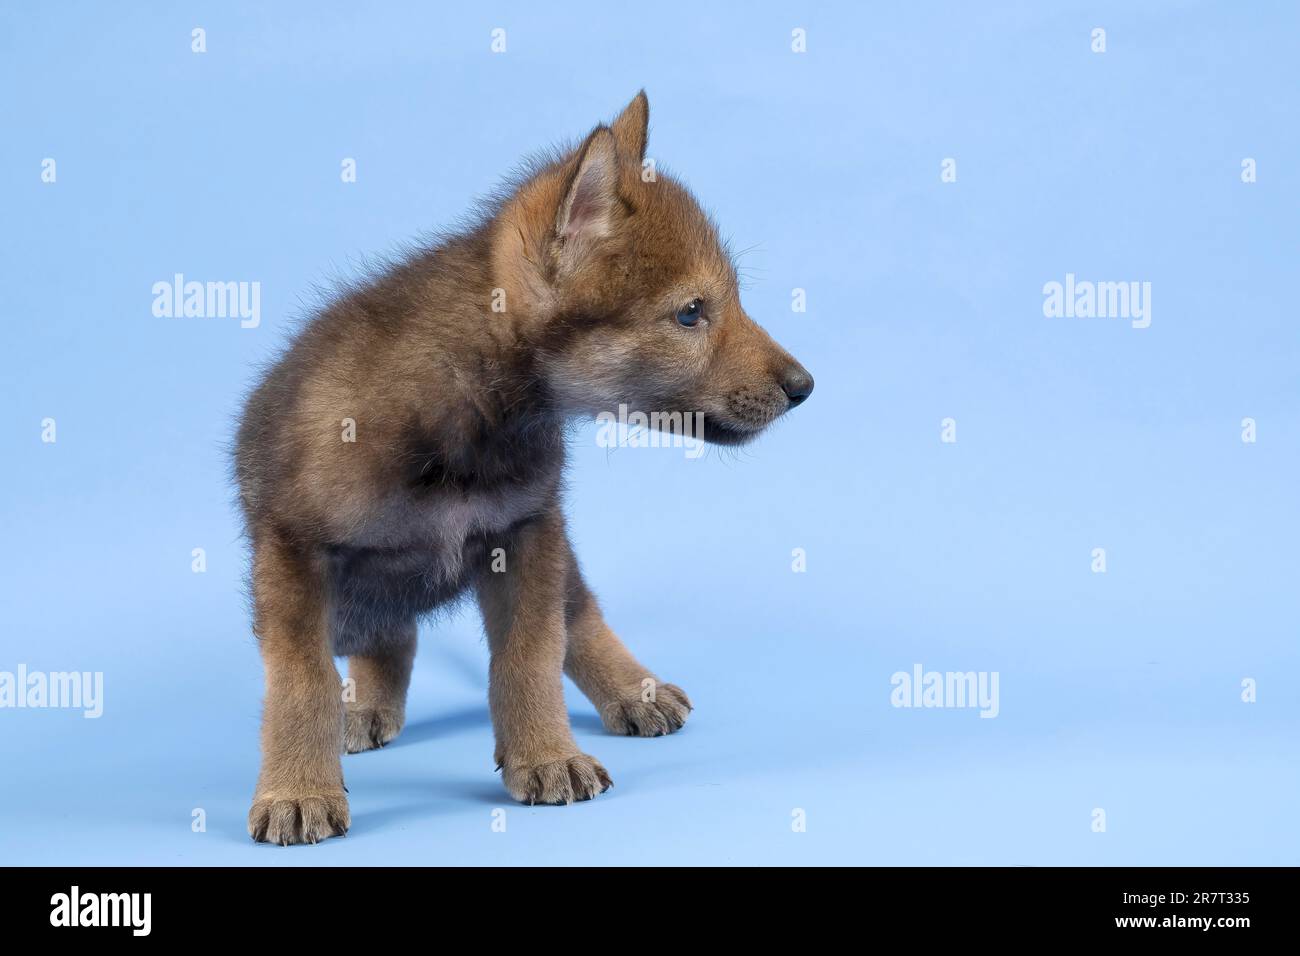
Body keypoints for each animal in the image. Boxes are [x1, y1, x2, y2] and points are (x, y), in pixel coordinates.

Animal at [235, 92, 813, 844]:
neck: (469, 411)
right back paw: (363, 707)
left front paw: (545, 755)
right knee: (389, 635)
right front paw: (299, 790)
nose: (805, 387)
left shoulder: (528, 533)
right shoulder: (295, 552)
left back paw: (633, 689)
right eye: (691, 313)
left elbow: (531, 658)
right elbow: (300, 684)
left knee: (578, 614)